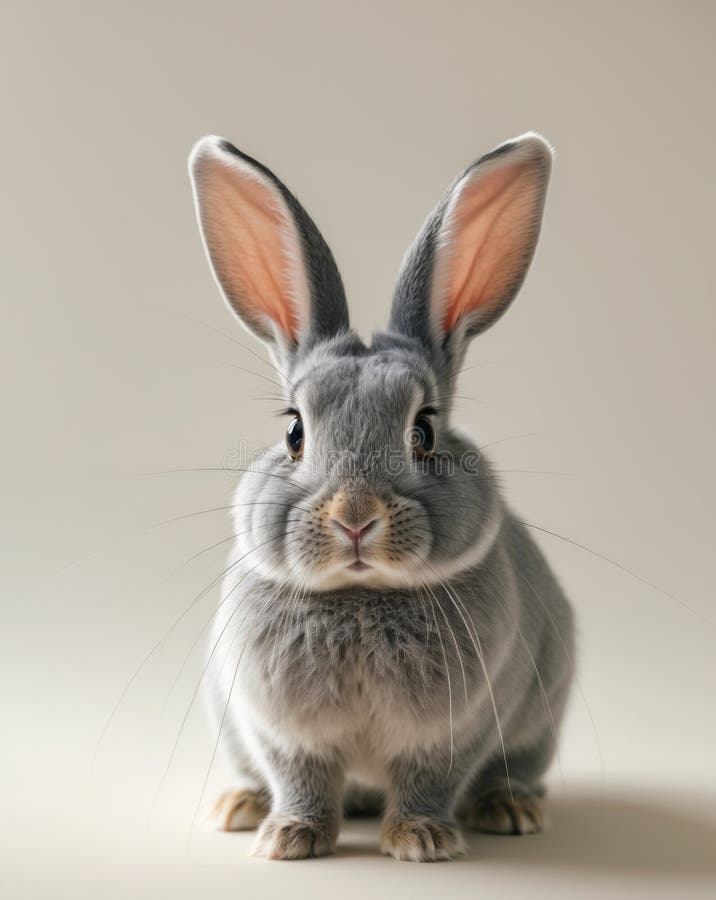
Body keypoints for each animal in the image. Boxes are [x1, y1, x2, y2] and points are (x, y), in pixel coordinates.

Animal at [187, 131, 575, 862]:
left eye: (424, 431)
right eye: (294, 430)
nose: (355, 517)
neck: (361, 595)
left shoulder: (460, 727)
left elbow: (430, 779)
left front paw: (422, 840)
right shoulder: (278, 728)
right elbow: (301, 778)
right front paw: (290, 838)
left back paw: (509, 810)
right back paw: (241, 806)